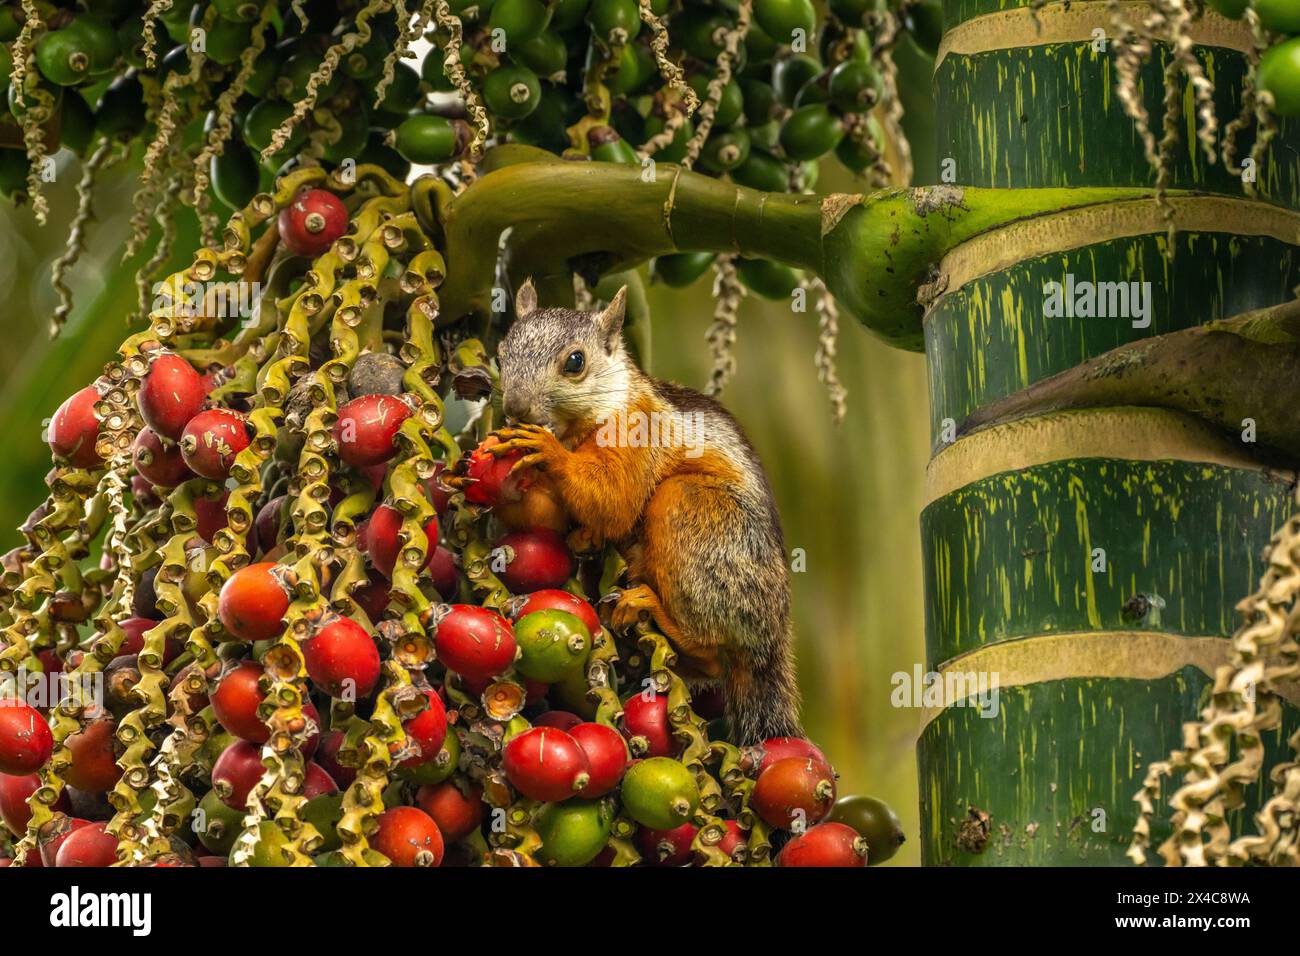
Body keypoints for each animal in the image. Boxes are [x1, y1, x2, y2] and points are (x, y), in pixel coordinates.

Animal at [488, 278, 803, 745]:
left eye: (575, 362)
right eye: (501, 352)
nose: (515, 408)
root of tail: (770, 641)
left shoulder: (636, 435)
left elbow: (613, 497)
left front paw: (547, 451)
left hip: (695, 514)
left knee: (713, 653)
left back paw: (654, 609)